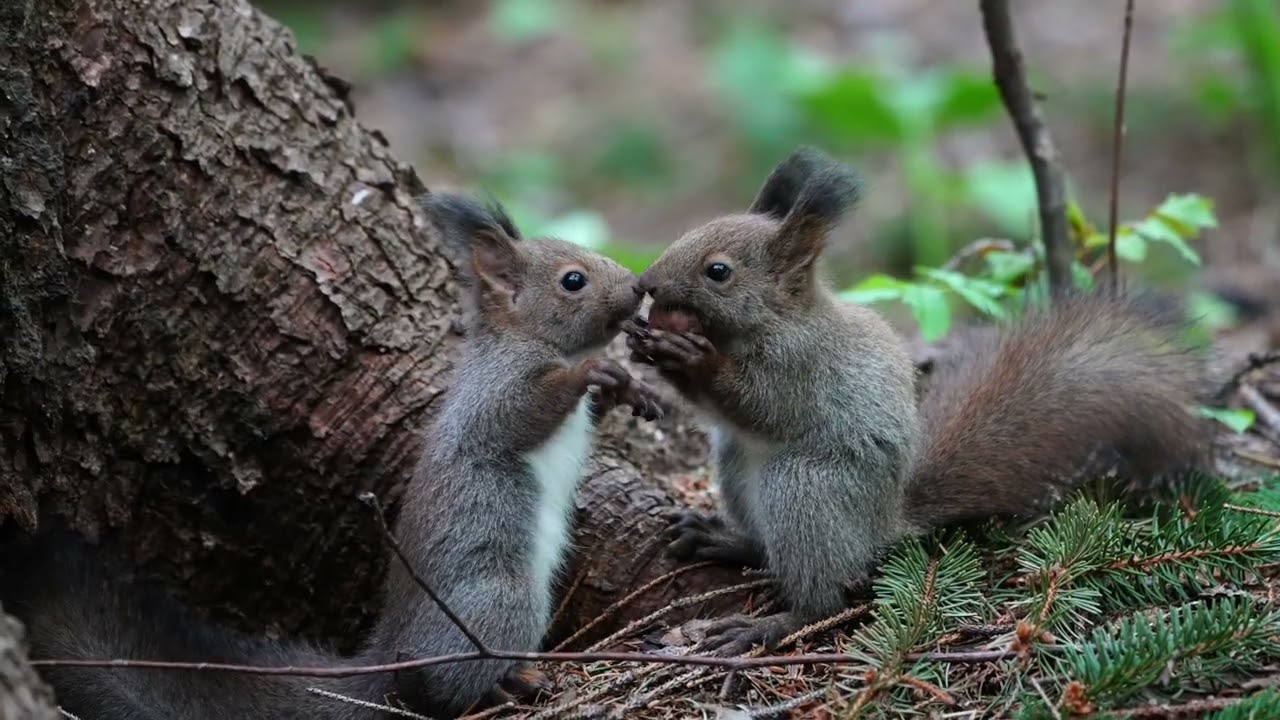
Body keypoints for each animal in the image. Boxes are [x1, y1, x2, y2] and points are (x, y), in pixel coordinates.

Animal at [1, 192, 667, 719]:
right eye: (573, 280)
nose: (638, 288)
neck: (526, 339)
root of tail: (390, 663)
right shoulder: (494, 391)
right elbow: (517, 417)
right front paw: (594, 373)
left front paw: (632, 389)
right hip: (500, 599)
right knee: (448, 689)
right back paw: (504, 686)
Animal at [624, 146, 1209, 656]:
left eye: (718, 271)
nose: (646, 282)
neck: (775, 322)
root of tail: (886, 523)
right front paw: (642, 347)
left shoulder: (803, 368)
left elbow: (763, 405)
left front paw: (688, 357)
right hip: (736, 464)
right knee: (768, 546)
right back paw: (726, 540)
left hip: (806, 486)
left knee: (823, 595)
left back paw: (770, 625)